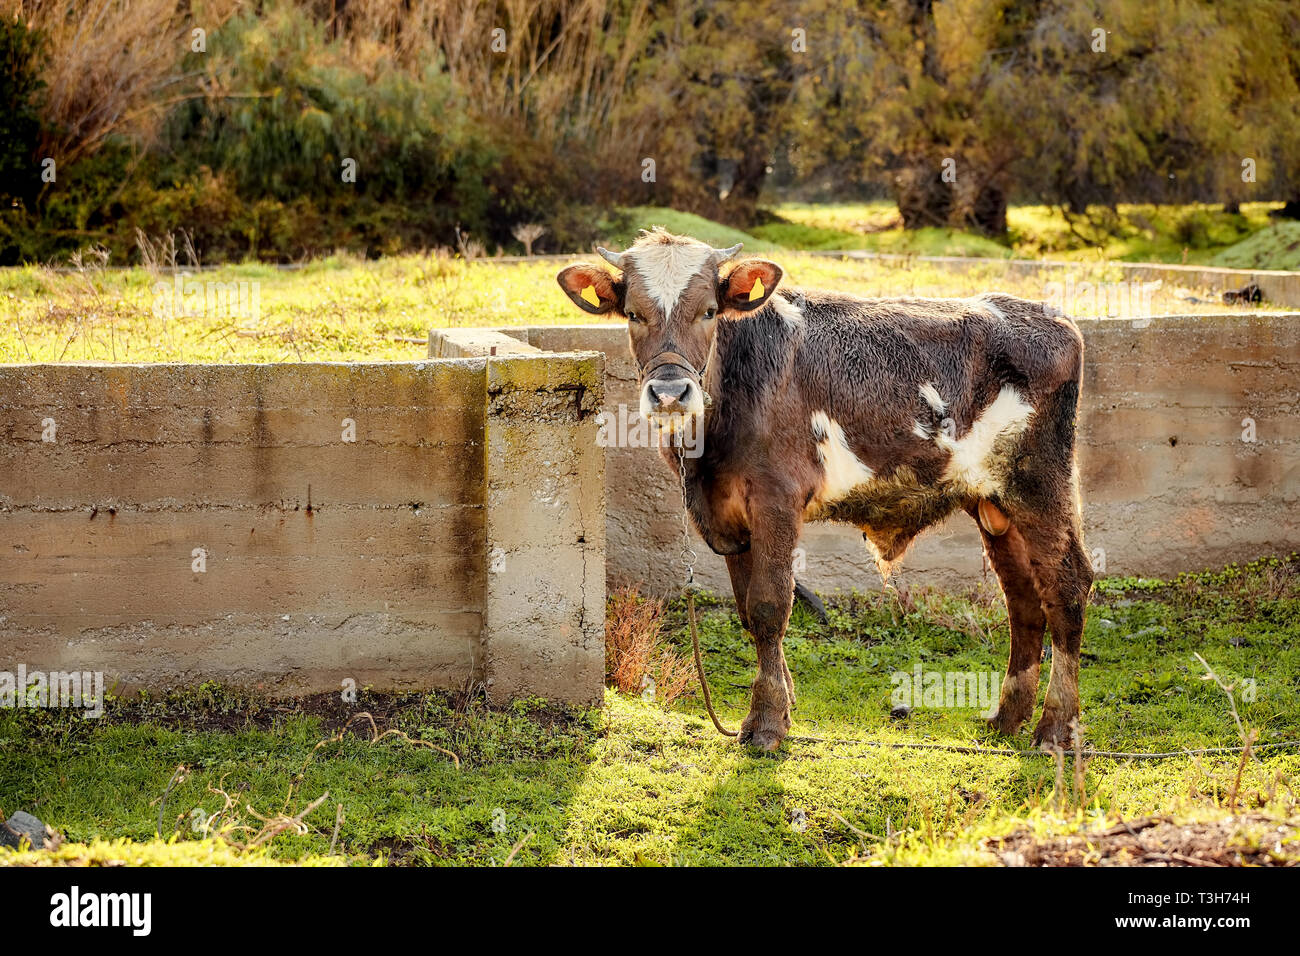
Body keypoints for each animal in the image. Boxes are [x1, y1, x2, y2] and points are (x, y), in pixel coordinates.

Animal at [557, 229, 1091, 752]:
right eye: (633, 313)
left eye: (708, 311)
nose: (670, 393)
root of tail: (1049, 316)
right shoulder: (731, 516)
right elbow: (747, 612)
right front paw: (783, 705)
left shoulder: (776, 498)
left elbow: (770, 605)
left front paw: (767, 723)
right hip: (995, 504)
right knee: (1023, 599)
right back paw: (1007, 718)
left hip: (1041, 485)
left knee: (1066, 588)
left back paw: (1054, 728)